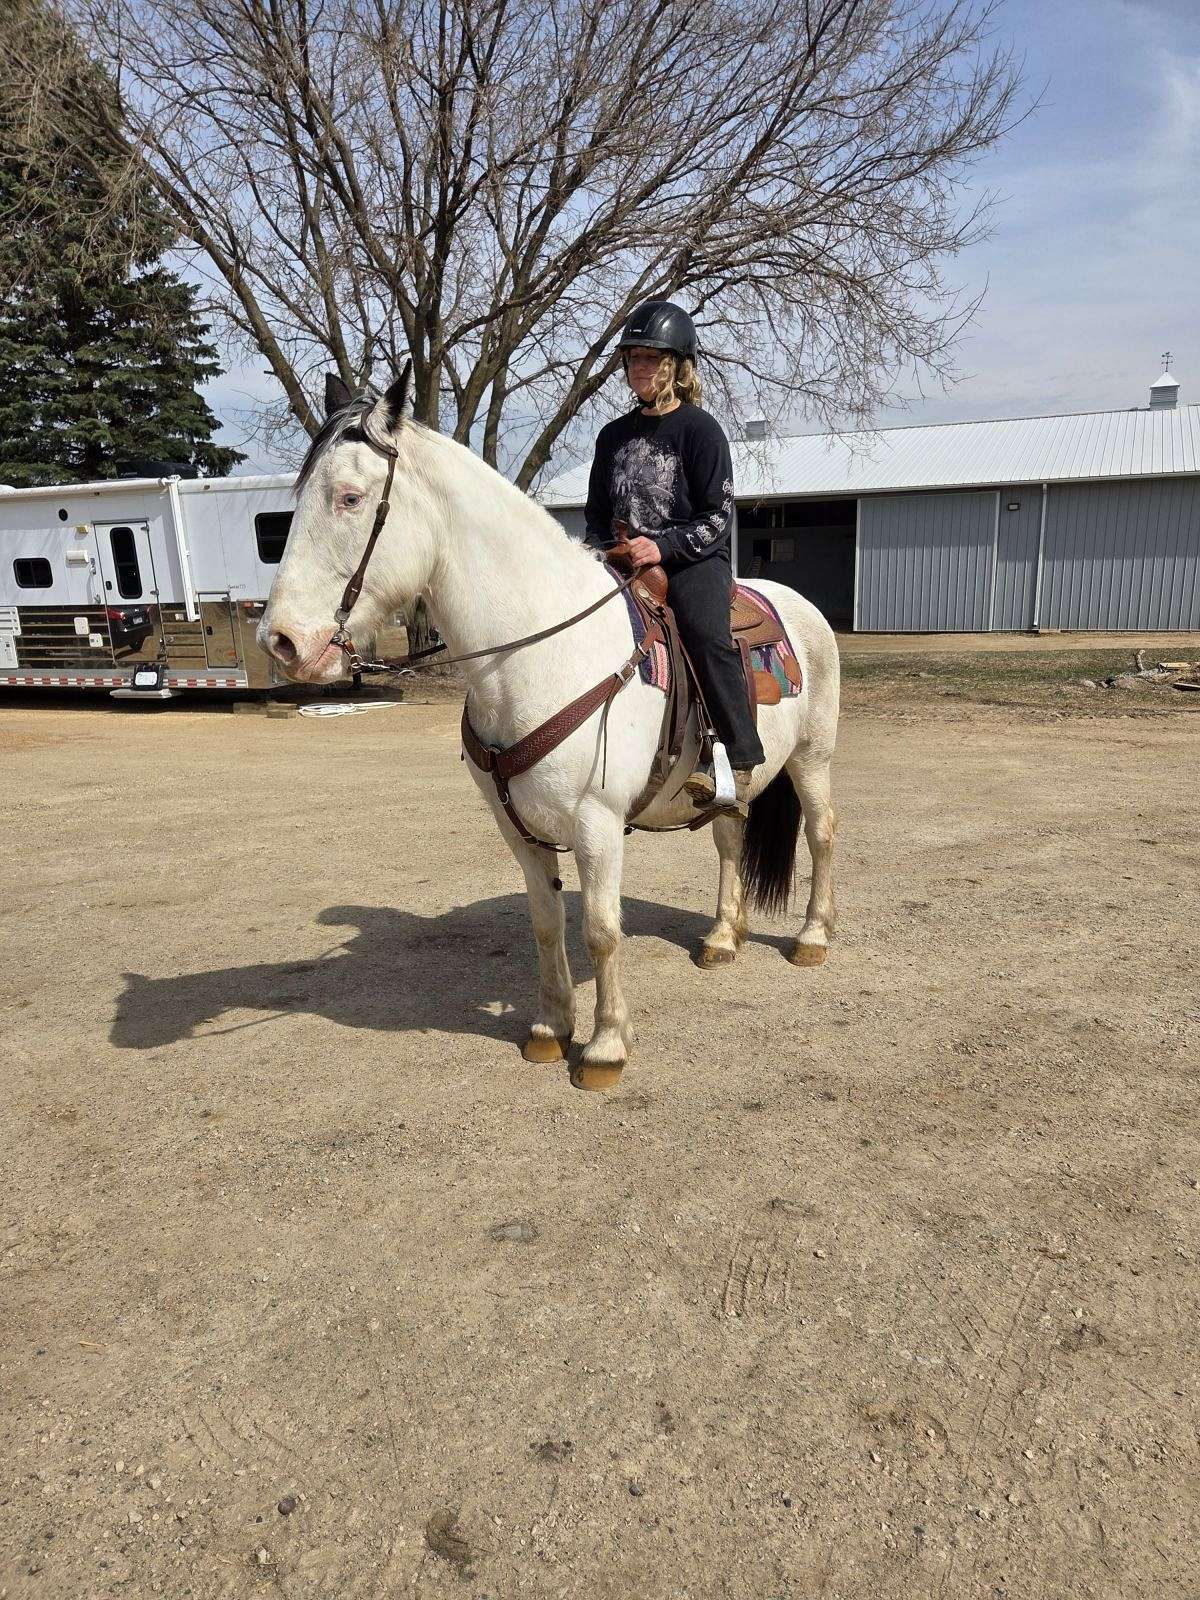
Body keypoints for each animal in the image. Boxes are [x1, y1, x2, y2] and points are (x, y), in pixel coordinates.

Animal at [259, 366, 839, 1090]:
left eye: (350, 498)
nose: (282, 641)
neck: (537, 656)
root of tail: (799, 607)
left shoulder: (597, 825)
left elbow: (600, 930)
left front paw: (605, 1046)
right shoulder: (517, 829)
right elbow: (544, 923)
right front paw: (549, 1028)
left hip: (813, 758)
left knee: (821, 834)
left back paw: (812, 938)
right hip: (738, 782)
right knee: (731, 841)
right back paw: (722, 939)